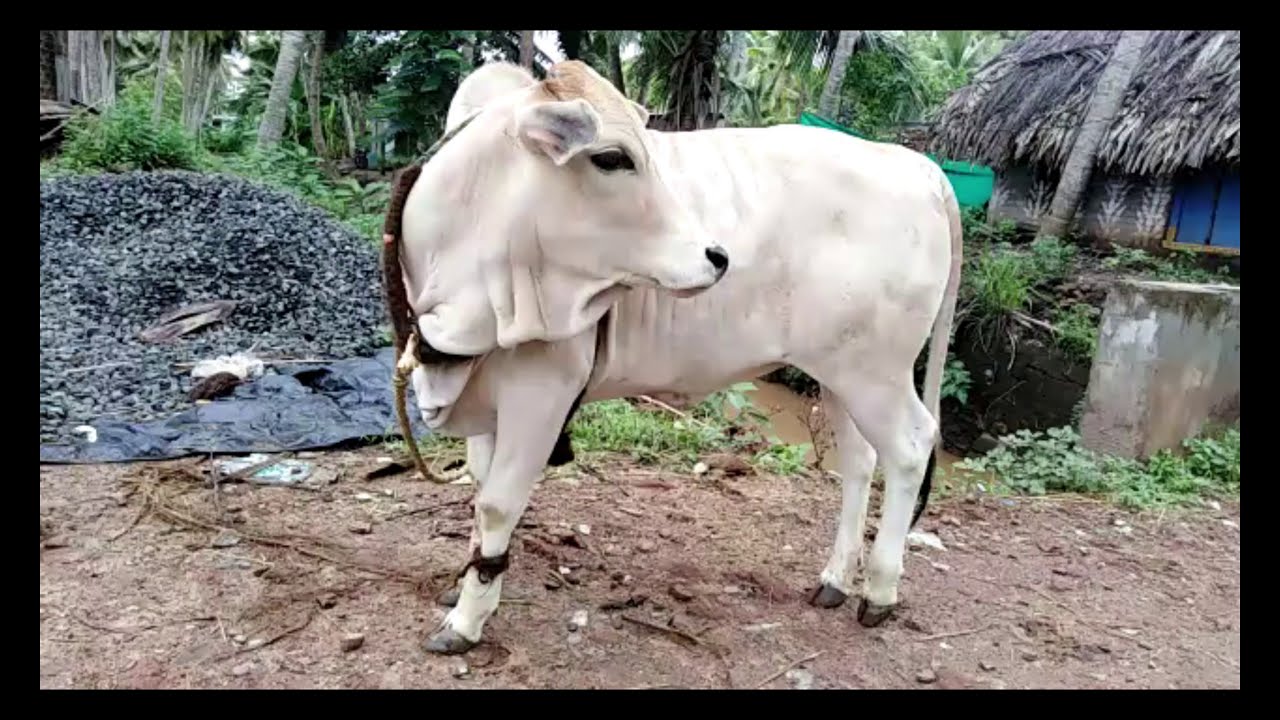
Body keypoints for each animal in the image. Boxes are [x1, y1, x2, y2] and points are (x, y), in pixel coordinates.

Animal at [385, 60, 963, 655]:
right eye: (611, 157)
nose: (718, 256)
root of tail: (914, 164)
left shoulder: (541, 394)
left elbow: (497, 503)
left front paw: (466, 621)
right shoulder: (484, 396)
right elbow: (480, 487)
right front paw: (470, 587)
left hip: (876, 372)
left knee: (910, 448)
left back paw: (880, 592)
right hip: (838, 373)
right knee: (860, 460)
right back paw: (835, 580)